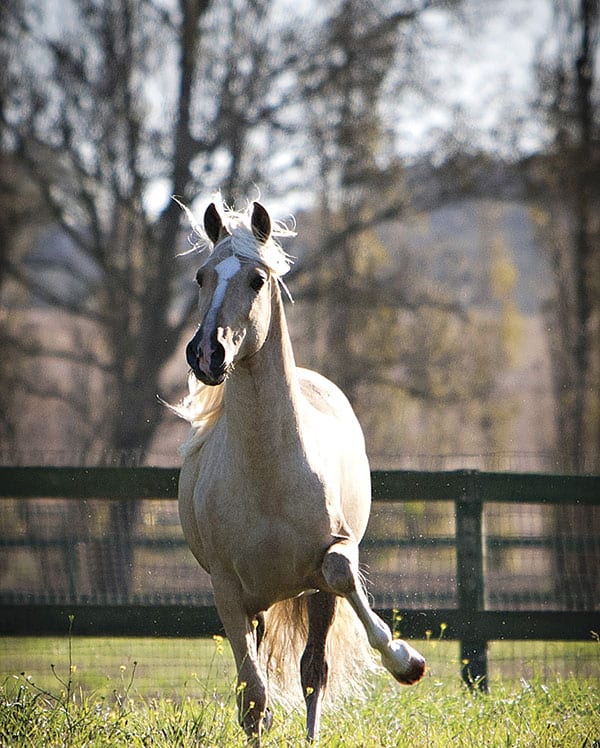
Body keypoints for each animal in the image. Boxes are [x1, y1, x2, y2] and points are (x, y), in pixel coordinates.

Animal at [175, 198, 425, 743]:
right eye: (202, 276)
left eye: (257, 280)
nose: (207, 353)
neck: (269, 472)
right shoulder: (228, 589)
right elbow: (253, 697)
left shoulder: (333, 554)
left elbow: (339, 580)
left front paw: (406, 661)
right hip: (260, 602)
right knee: (262, 679)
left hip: (312, 595)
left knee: (315, 670)